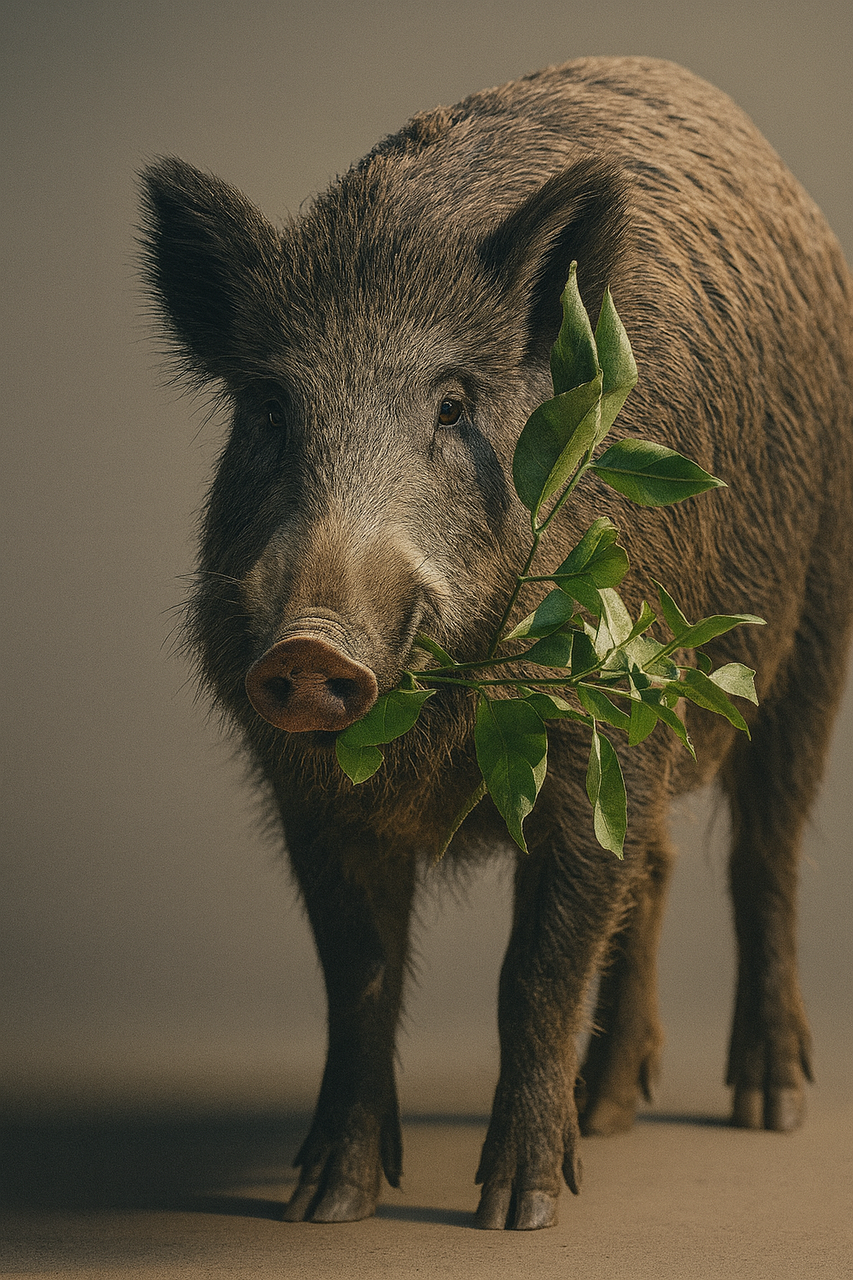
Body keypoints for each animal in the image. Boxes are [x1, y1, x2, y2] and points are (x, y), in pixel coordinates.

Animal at [140, 56, 853, 1230]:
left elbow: (536, 966)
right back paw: (608, 1113)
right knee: (656, 866)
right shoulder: (308, 790)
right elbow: (360, 972)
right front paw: (323, 1205)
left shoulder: (587, 737)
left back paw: (769, 1107)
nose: (310, 649)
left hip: (808, 635)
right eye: (270, 406)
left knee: (765, 849)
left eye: (452, 405)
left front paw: (517, 1212)